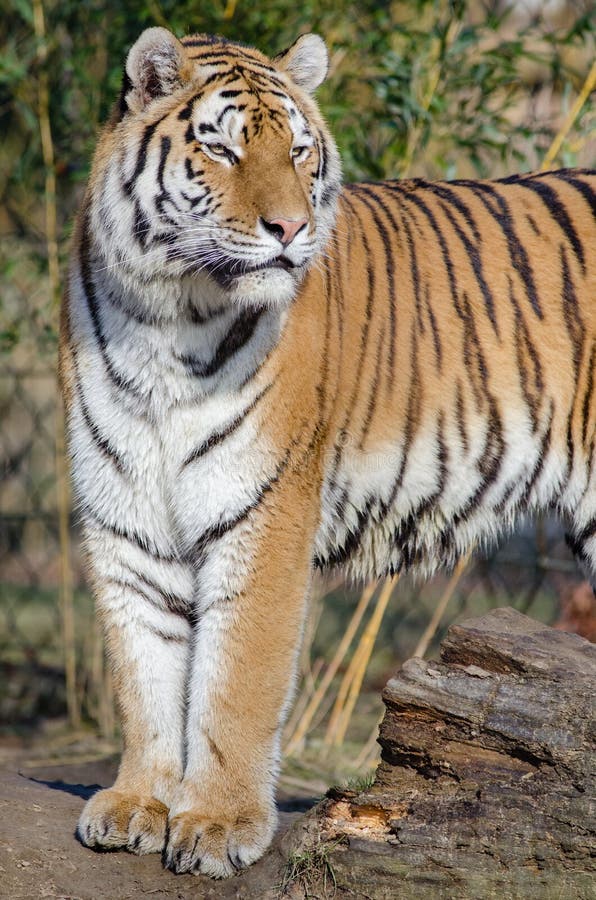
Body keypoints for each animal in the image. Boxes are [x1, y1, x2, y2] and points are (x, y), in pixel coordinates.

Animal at [59, 24, 596, 878]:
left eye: (300, 151)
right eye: (222, 149)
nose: (288, 231)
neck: (164, 319)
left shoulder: (262, 513)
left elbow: (236, 681)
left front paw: (218, 822)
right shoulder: (126, 520)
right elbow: (145, 676)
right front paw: (138, 802)